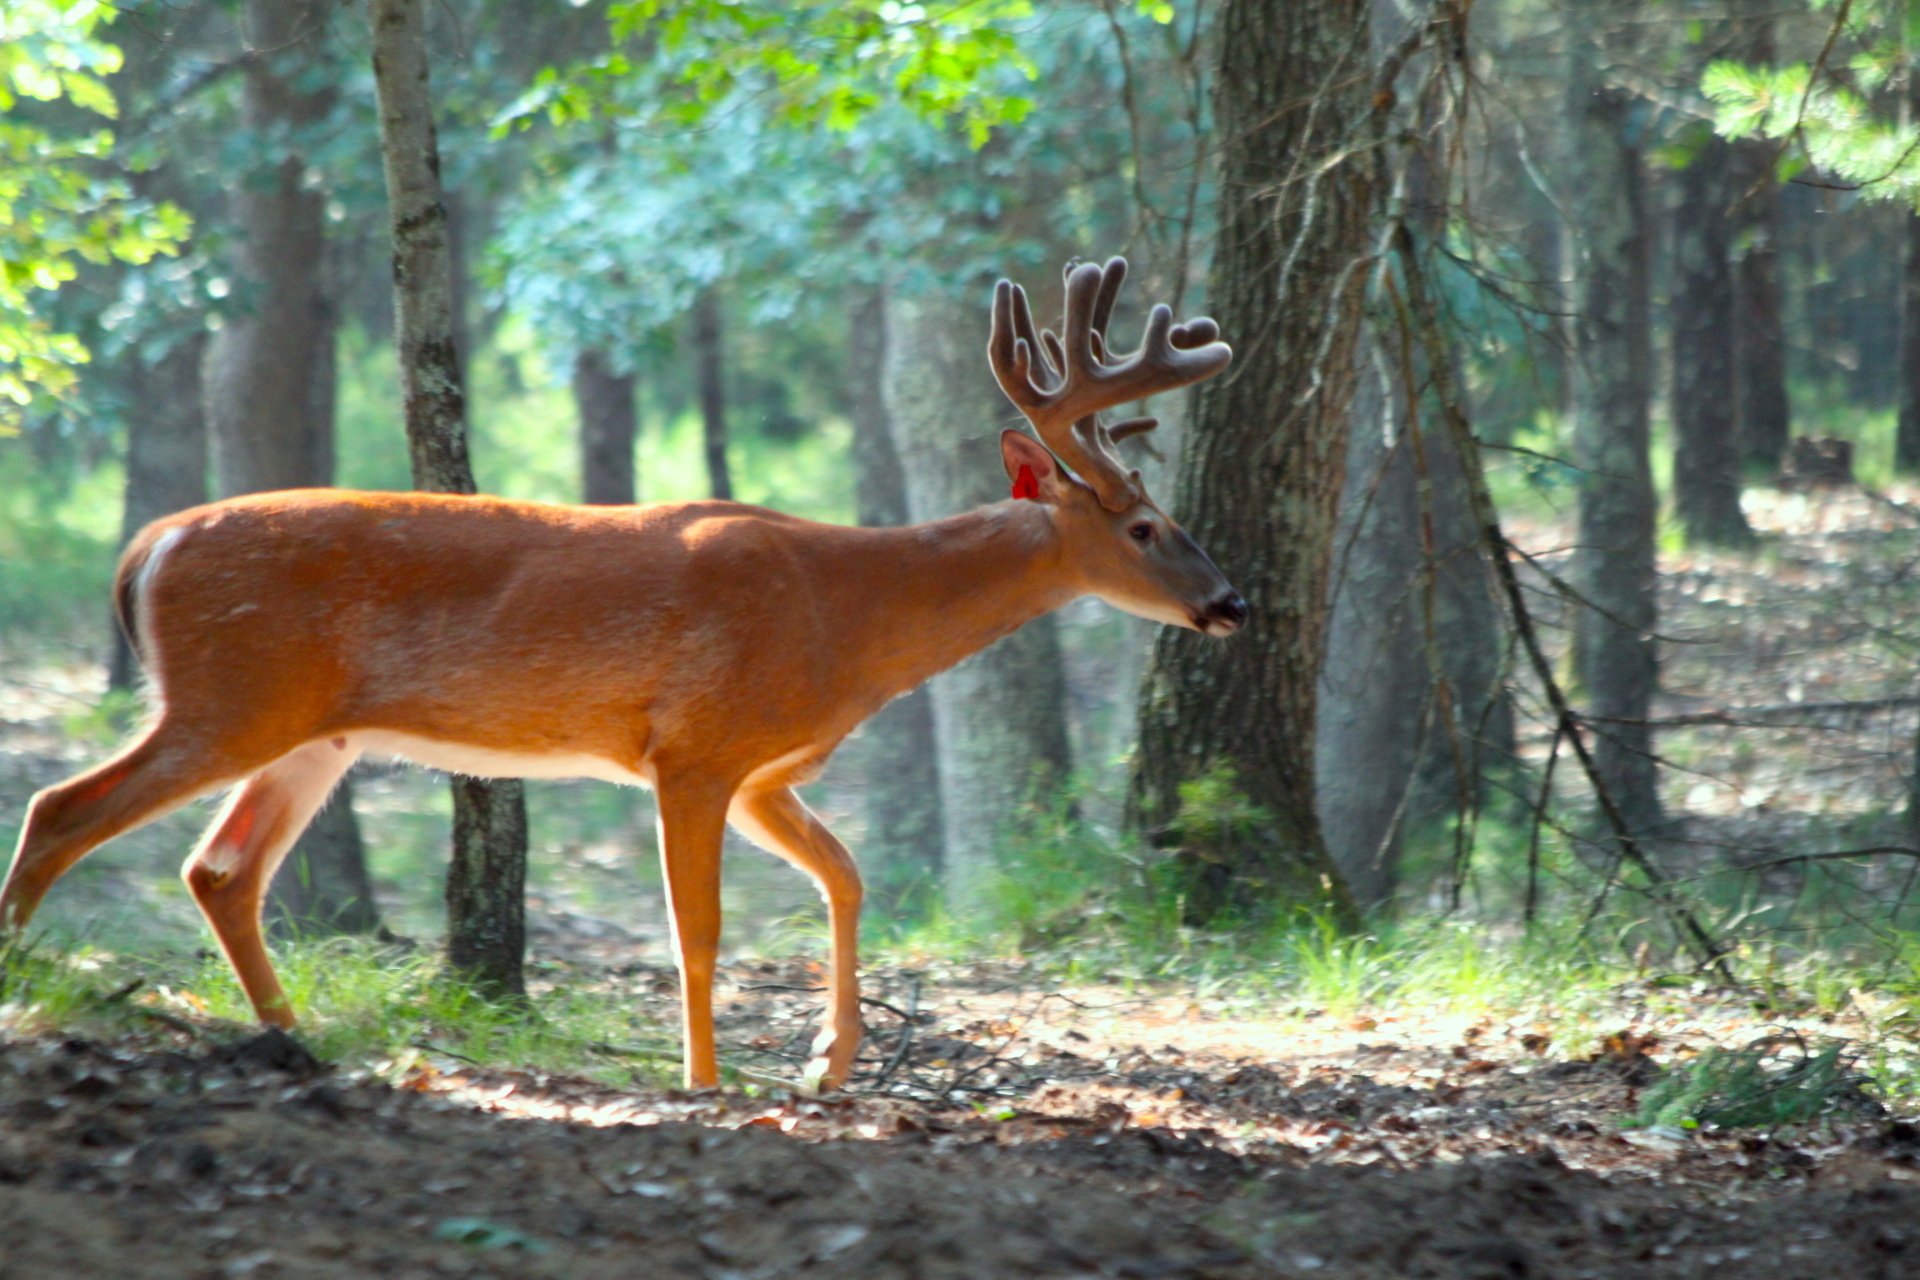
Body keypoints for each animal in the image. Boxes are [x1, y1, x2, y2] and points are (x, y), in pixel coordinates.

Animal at [0, 257, 1245, 1092]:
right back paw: (26, 974)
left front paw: (827, 1059)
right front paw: (708, 1080)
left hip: (309, 731)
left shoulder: (762, 772)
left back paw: (290, 1029)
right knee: (65, 805)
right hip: (230, 692)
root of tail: (148, 546)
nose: (1230, 602)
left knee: (220, 869)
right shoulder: (694, 748)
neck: (845, 614)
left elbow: (845, 876)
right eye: (1143, 524)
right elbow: (698, 929)